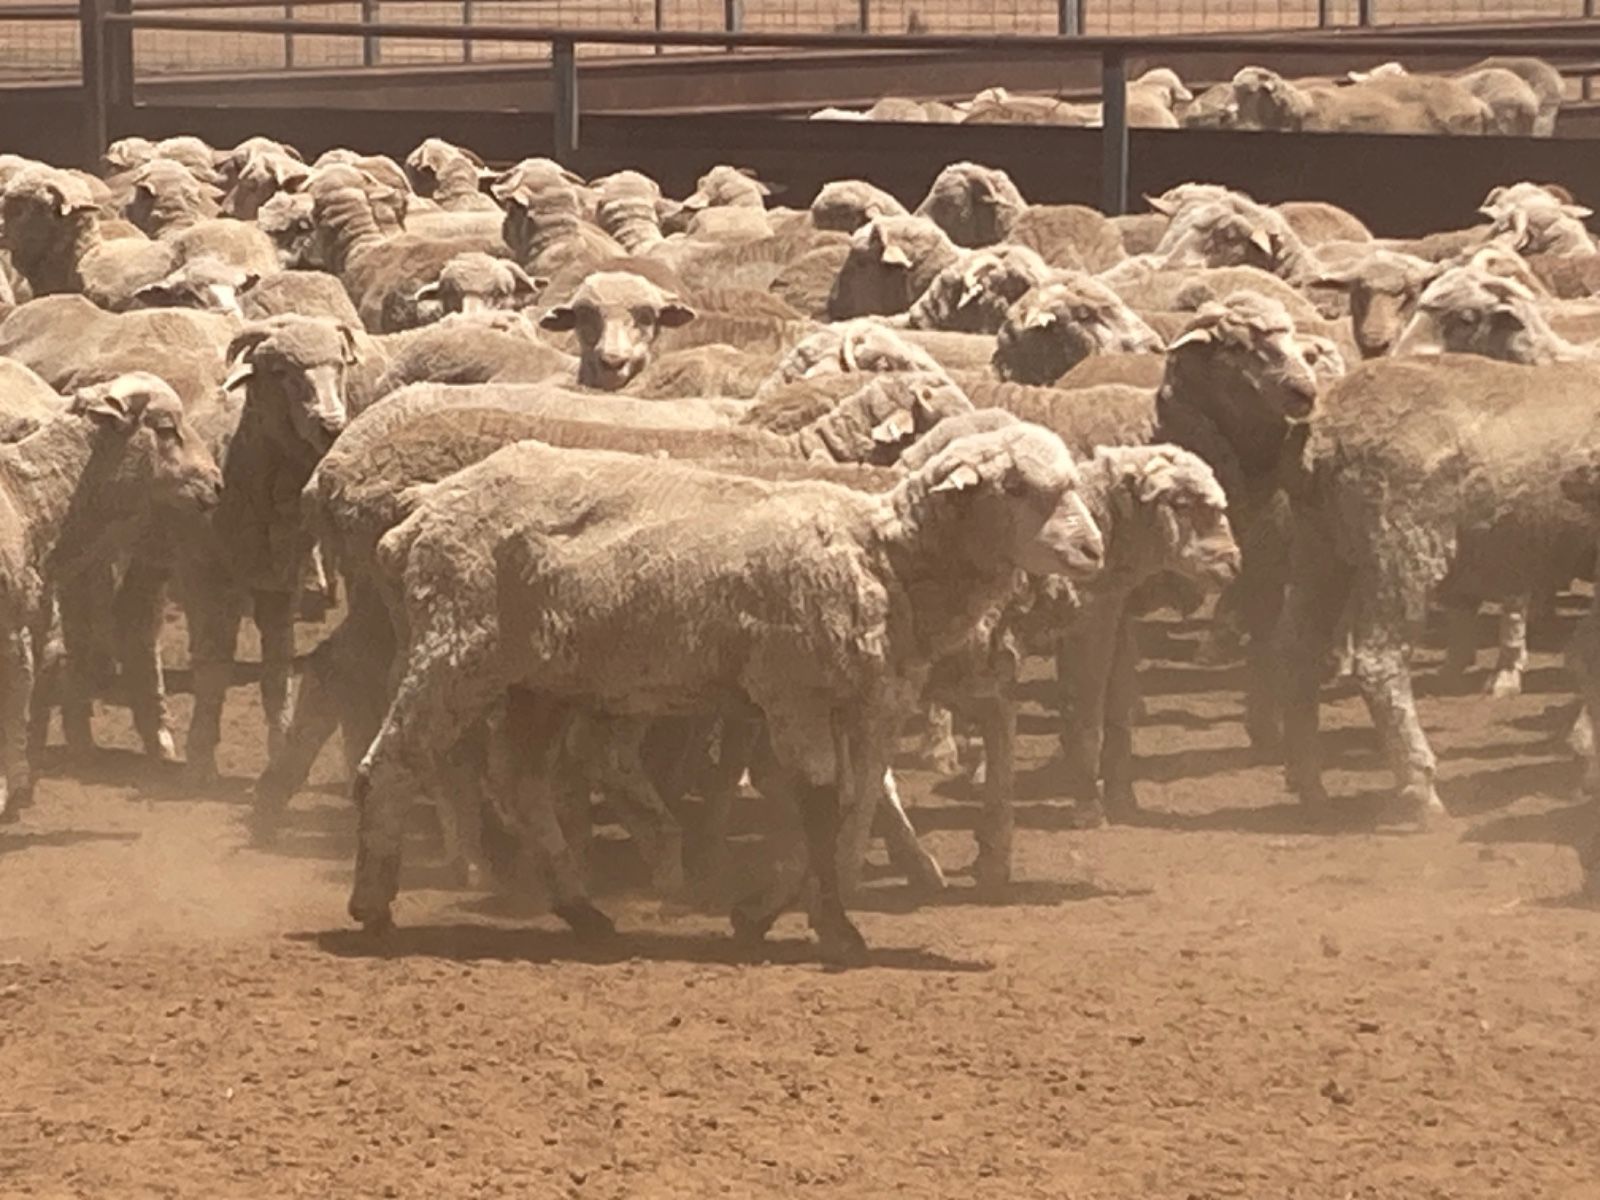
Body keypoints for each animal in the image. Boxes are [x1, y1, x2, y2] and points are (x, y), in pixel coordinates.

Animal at [344, 421, 1105, 960]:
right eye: (1015, 487)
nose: (1093, 550)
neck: (881, 554)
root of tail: (421, 509)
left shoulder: (864, 702)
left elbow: (851, 806)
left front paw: (766, 912)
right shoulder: (793, 691)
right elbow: (821, 804)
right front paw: (834, 929)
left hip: (539, 679)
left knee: (521, 785)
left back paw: (582, 911)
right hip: (456, 646)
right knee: (392, 762)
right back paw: (372, 906)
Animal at [1277, 355, 1600, 824]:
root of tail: (1325, 425)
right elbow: (1588, 655)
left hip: (1321, 547)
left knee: (1295, 653)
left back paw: (1310, 788)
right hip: (1401, 545)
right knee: (1379, 662)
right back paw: (1420, 789)